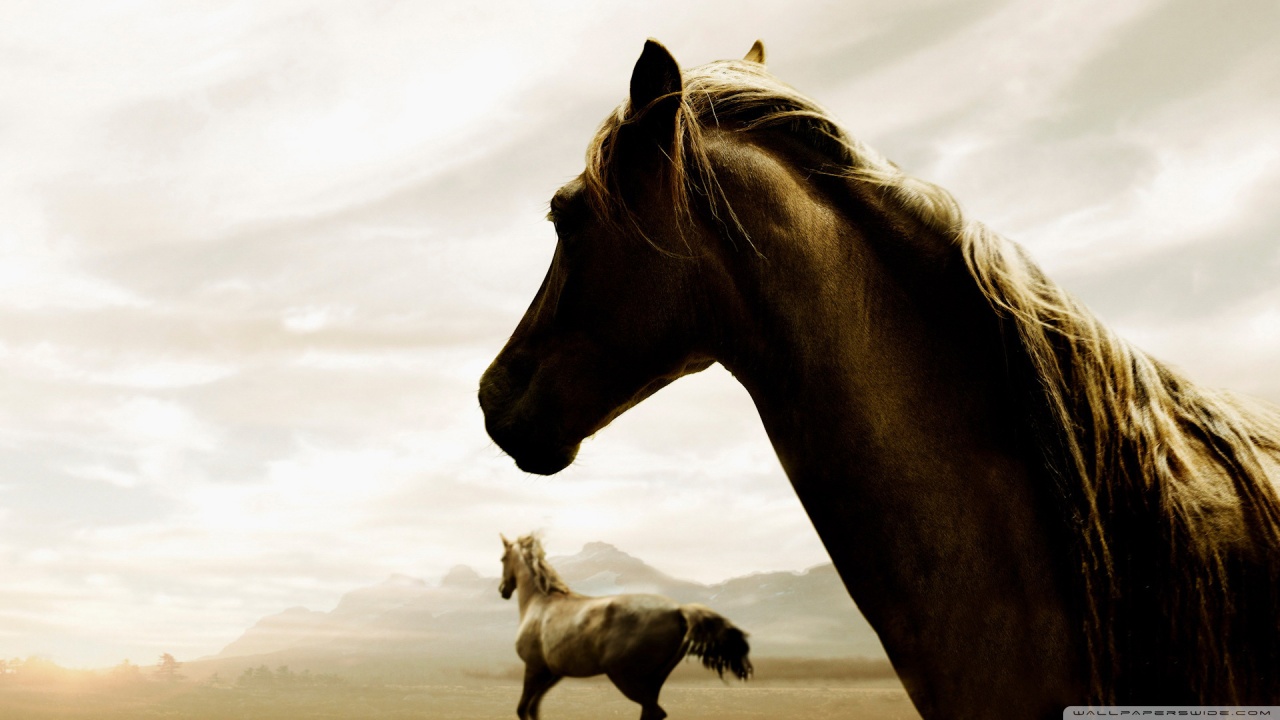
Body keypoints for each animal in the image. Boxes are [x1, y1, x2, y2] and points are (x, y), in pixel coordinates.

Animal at [497, 533, 751, 720]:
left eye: (502, 559)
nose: (502, 590)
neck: (540, 602)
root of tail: (679, 610)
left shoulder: (534, 668)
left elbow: (523, 709)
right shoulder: (552, 673)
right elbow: (533, 709)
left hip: (624, 676)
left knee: (655, 711)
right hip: (652, 680)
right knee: (651, 712)